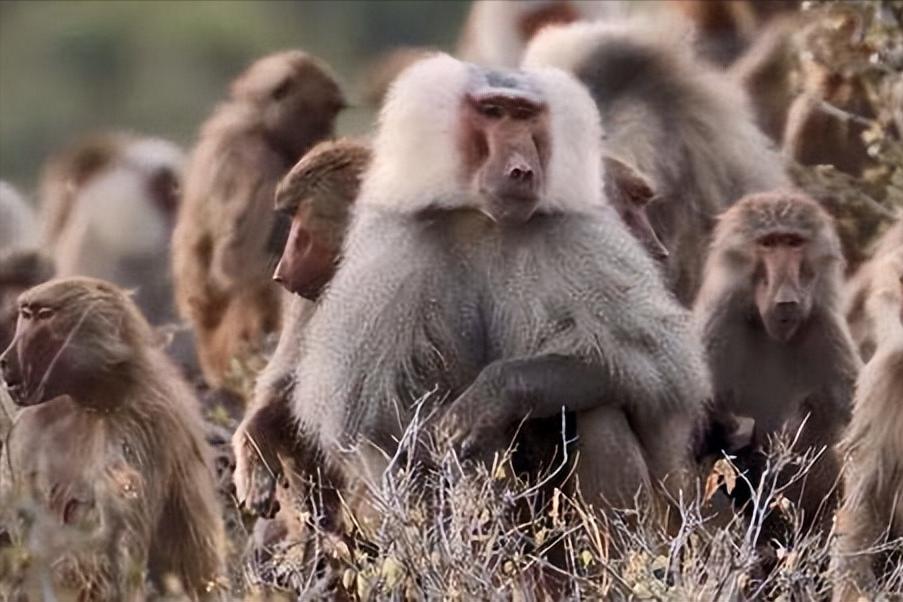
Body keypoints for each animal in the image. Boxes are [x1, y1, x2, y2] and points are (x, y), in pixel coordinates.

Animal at [0, 277, 225, 600]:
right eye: (25, 314)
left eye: (43, 315)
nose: (5, 361)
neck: (95, 400)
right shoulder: (31, 425)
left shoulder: (138, 427)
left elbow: (114, 561)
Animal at [171, 50, 345, 397]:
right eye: (326, 113)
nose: (329, 136)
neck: (258, 125)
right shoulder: (250, 161)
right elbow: (235, 263)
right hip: (230, 352)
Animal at [283, 56, 709, 537]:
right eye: (493, 112)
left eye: (525, 115)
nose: (522, 169)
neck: (483, 220)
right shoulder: (391, 251)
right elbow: (363, 403)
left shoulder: (582, 238)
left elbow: (654, 364)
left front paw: (490, 399)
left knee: (601, 407)